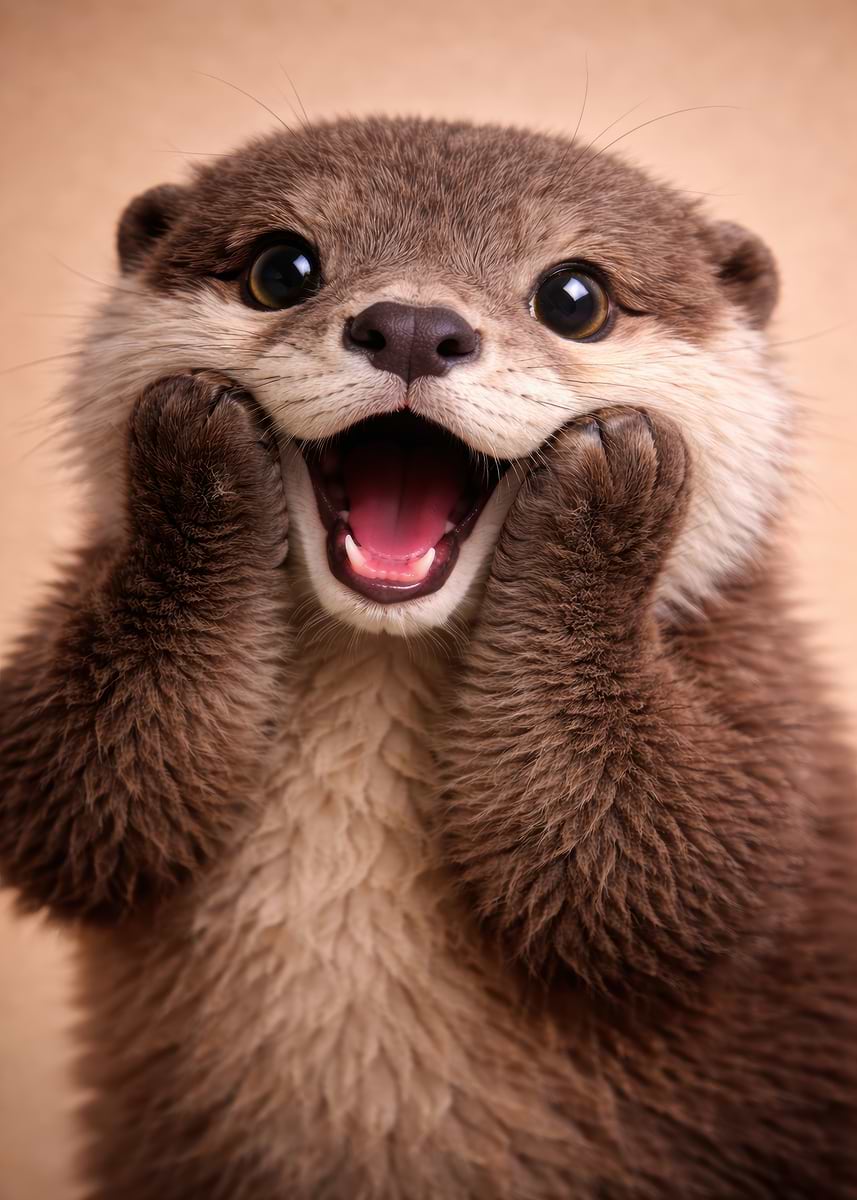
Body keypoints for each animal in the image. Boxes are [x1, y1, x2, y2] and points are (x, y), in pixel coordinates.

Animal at [0, 116, 855, 1199]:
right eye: (281, 268)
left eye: (574, 298)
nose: (410, 326)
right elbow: (71, 795)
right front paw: (196, 448)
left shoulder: (768, 715)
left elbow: (672, 865)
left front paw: (607, 490)